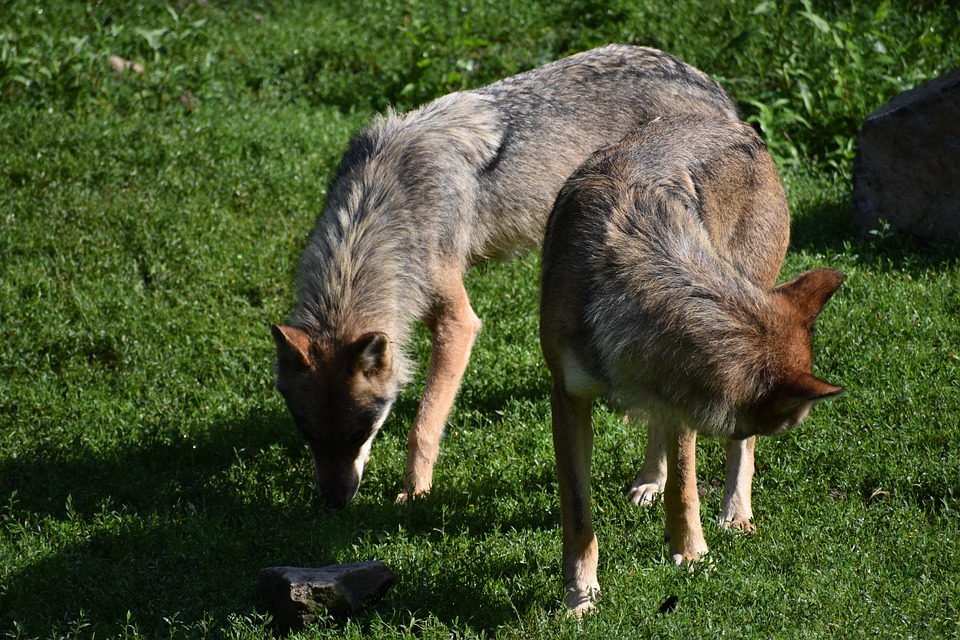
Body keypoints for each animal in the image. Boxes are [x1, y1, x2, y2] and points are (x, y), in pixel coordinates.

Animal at [271, 44, 741, 509]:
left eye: (360, 432)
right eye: (308, 435)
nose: (333, 505)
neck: (379, 205)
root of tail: (710, 84)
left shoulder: (458, 322)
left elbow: (422, 425)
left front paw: (415, 491)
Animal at [539, 115, 843, 613]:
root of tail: (739, 125)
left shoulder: (682, 392)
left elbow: (685, 489)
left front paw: (693, 555)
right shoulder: (567, 399)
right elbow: (578, 514)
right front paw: (579, 595)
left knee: (732, 455)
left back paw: (735, 514)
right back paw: (649, 482)